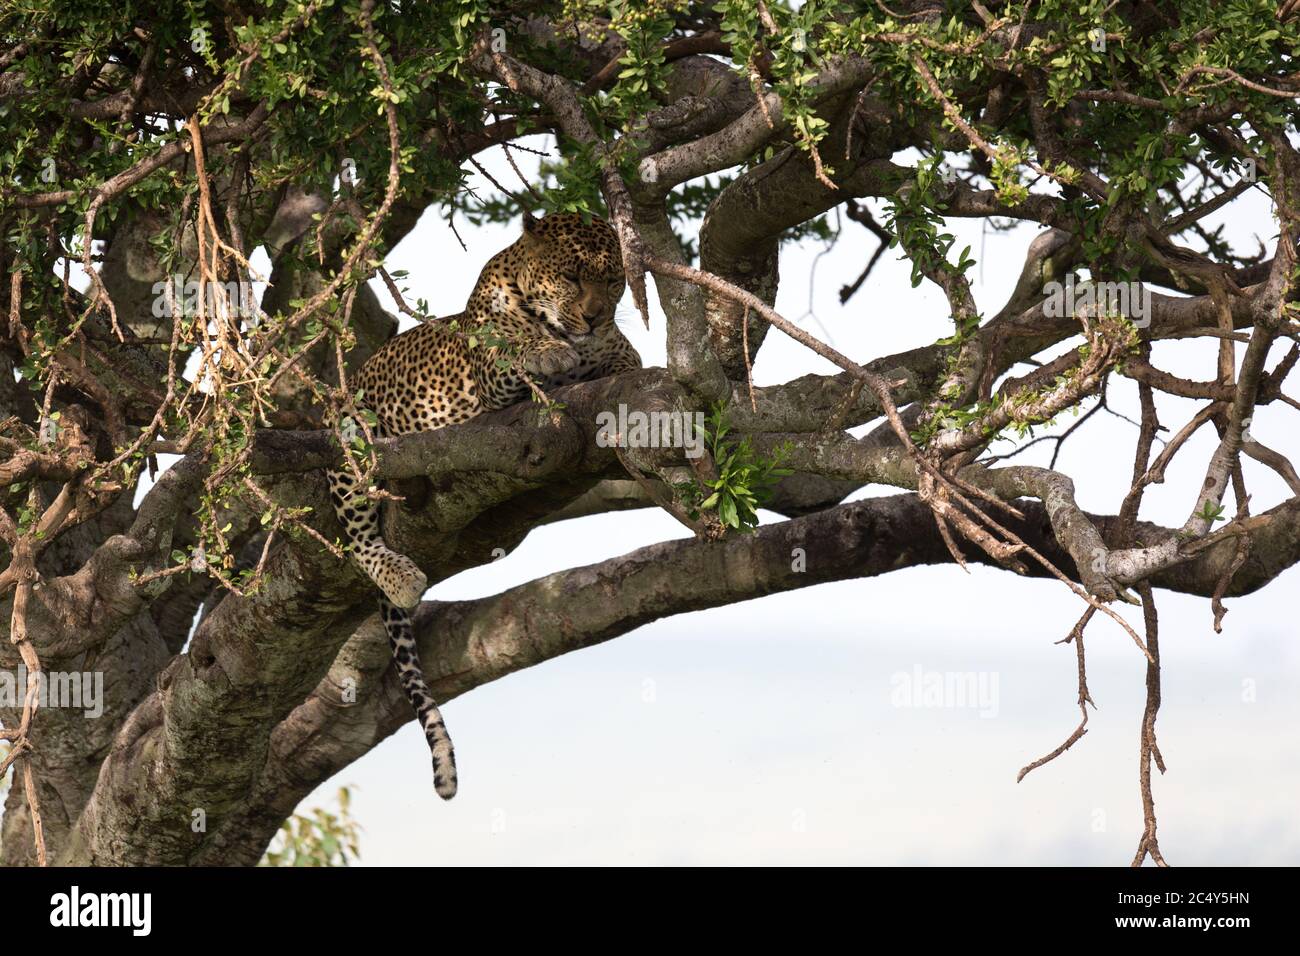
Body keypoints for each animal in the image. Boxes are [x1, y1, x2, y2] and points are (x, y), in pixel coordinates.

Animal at [328, 212, 642, 799]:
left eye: (614, 281)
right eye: (571, 276)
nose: (593, 317)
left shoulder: (618, 353)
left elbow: (622, 358)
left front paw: (594, 350)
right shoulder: (490, 379)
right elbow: (512, 350)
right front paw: (546, 350)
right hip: (346, 442)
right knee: (357, 538)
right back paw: (400, 576)